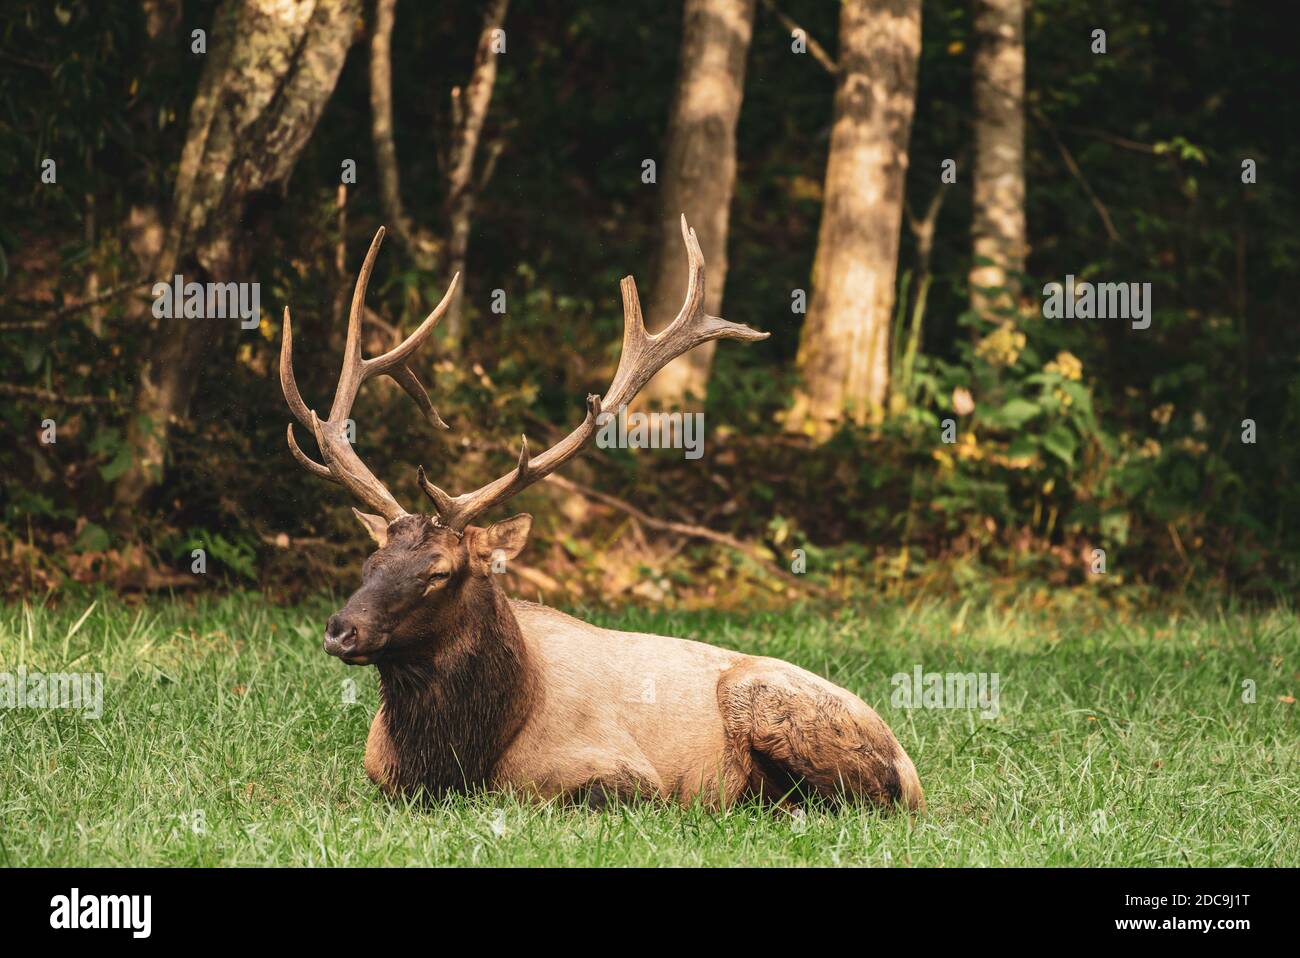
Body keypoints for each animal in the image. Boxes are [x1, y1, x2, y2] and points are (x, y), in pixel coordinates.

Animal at [279, 216, 924, 811]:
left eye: (439, 571)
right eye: (369, 562)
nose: (341, 629)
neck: (458, 758)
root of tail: (912, 770)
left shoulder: (625, 775)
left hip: (772, 704)